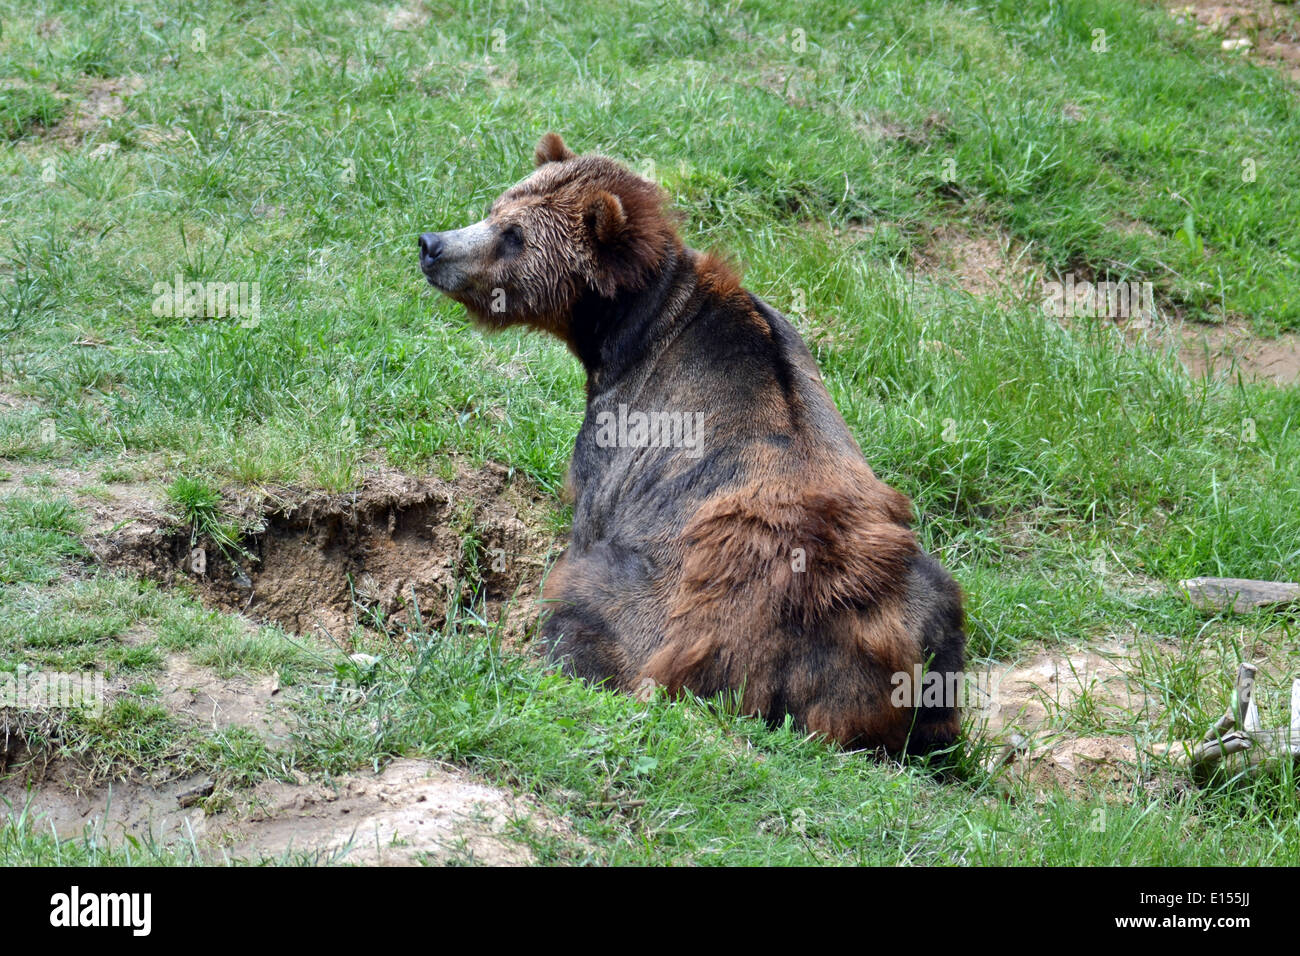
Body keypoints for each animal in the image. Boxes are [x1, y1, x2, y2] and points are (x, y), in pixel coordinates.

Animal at [418, 133, 966, 753]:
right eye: (496, 207)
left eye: (514, 235)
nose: (432, 245)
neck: (625, 327)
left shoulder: (618, 434)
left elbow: (585, 515)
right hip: (903, 595)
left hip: (670, 610)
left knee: (589, 592)